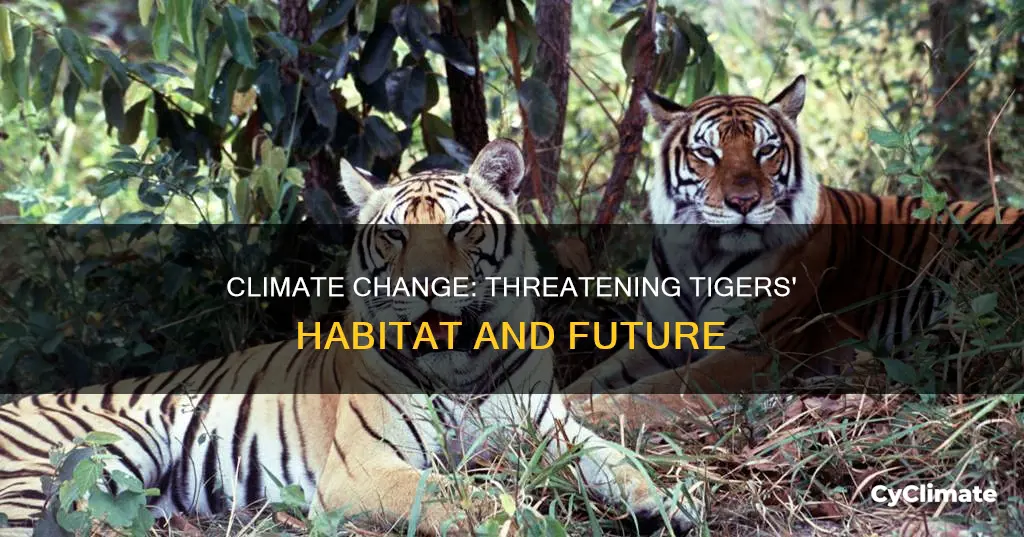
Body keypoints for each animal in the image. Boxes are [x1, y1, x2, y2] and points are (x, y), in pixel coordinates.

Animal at [0, 139, 696, 535]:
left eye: (460, 228)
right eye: (393, 234)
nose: (426, 286)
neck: (462, 360)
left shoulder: (549, 425)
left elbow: (619, 460)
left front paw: (670, 506)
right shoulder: (363, 467)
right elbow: (461, 494)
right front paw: (524, 519)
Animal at [565, 75, 1024, 400]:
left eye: (765, 151)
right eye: (707, 153)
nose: (744, 201)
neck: (701, 253)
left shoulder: (751, 352)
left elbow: (654, 390)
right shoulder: (650, 346)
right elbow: (587, 379)